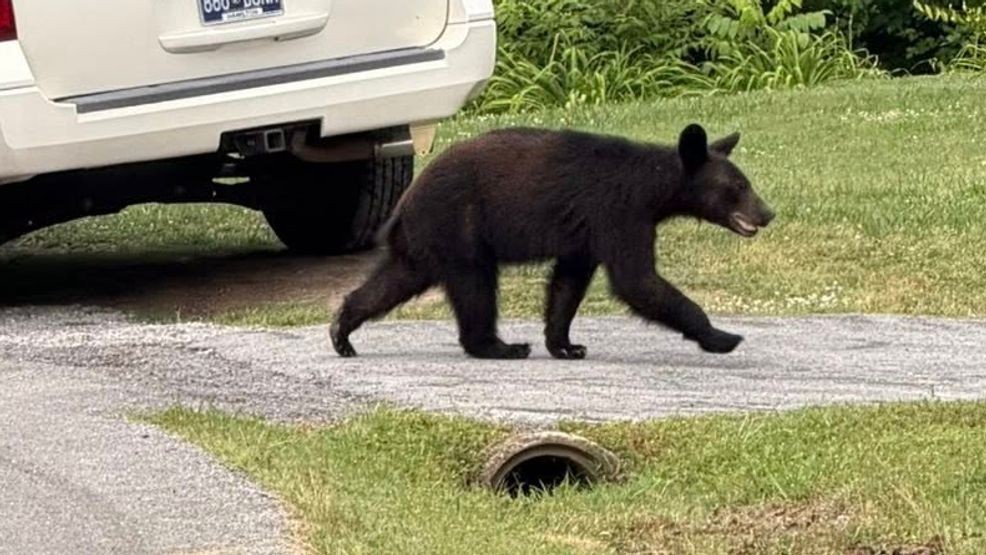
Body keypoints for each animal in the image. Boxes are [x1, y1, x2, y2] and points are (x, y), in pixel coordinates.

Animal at [330, 123, 775, 360]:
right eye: (739, 187)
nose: (767, 213)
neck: (653, 187)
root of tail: (405, 202)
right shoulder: (619, 212)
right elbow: (637, 280)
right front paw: (723, 337)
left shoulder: (586, 234)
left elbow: (568, 283)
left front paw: (565, 344)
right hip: (460, 226)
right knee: (475, 287)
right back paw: (501, 346)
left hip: (426, 241)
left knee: (393, 280)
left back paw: (342, 331)